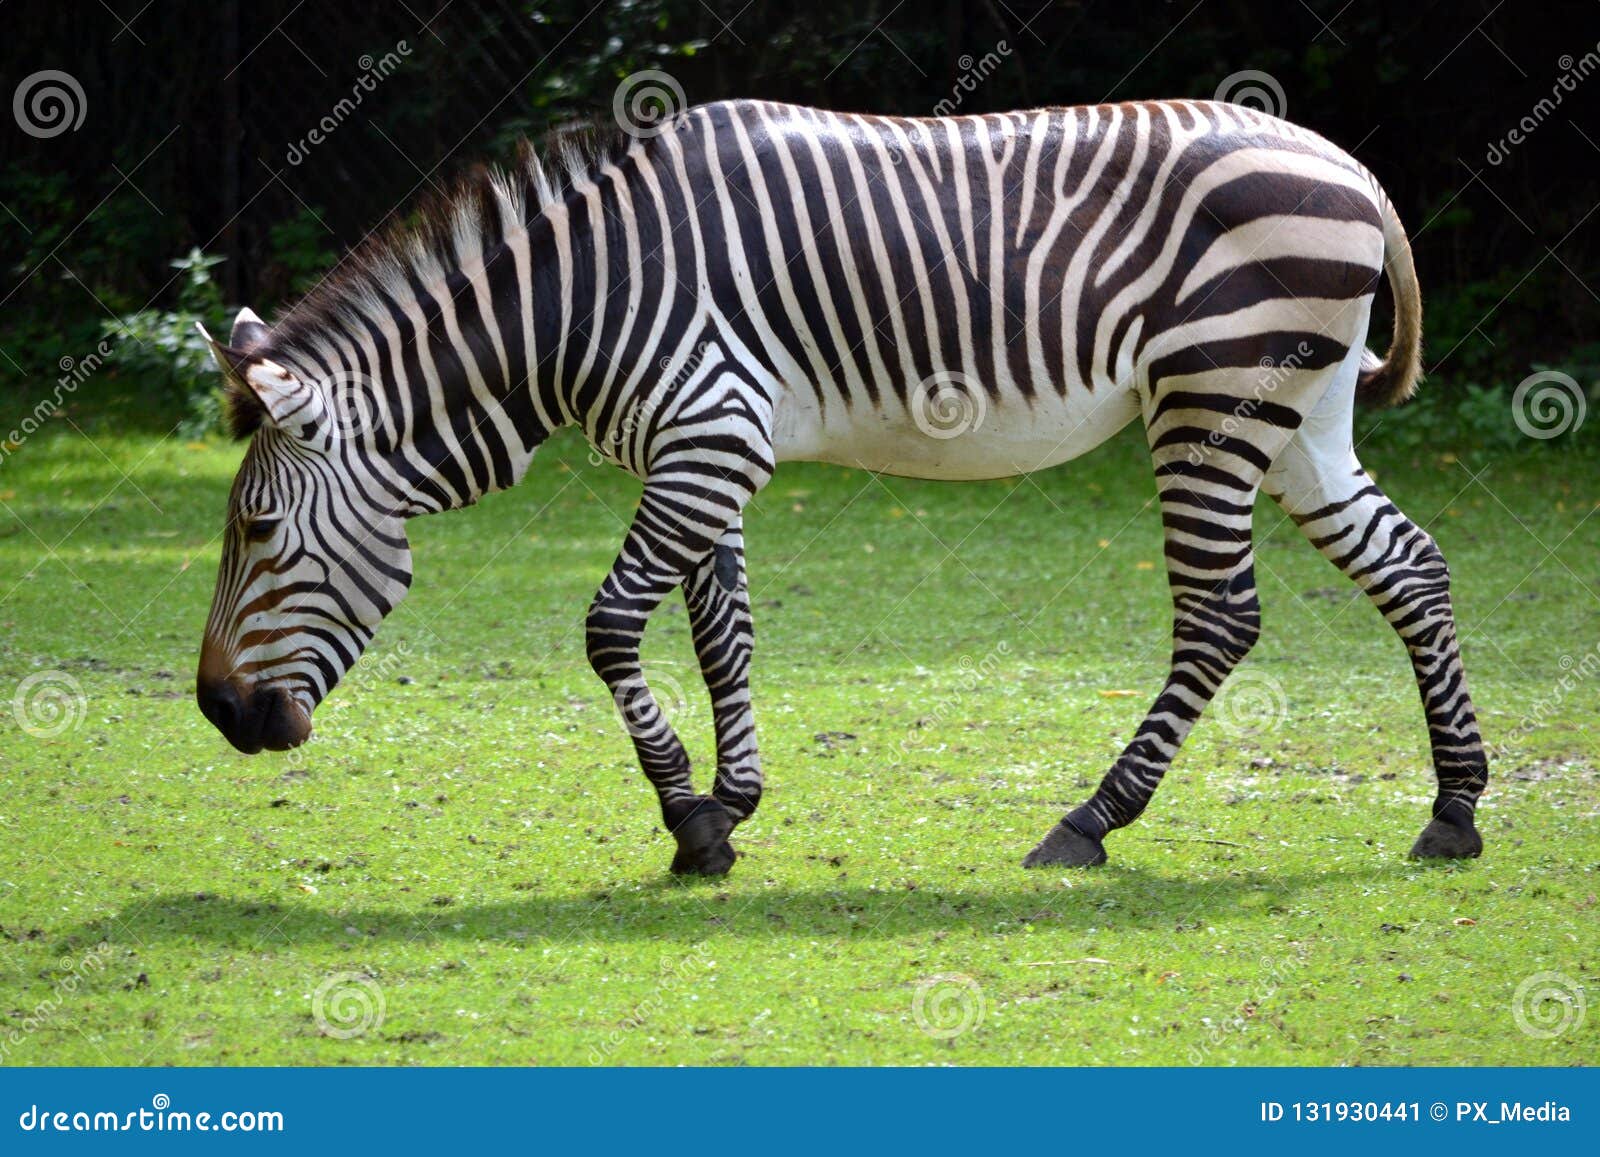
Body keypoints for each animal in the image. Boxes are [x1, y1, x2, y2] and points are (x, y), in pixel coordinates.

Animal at [196, 98, 1488, 875]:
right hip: (1300, 414)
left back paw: (1089, 820)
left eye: (255, 529)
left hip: (1214, 394)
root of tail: (1348, 165)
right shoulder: (706, 449)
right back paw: (1454, 811)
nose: (216, 715)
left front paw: (689, 820)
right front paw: (731, 802)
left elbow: (610, 627)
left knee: (1221, 614)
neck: (587, 298)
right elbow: (723, 633)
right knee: (1413, 568)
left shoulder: (707, 438)